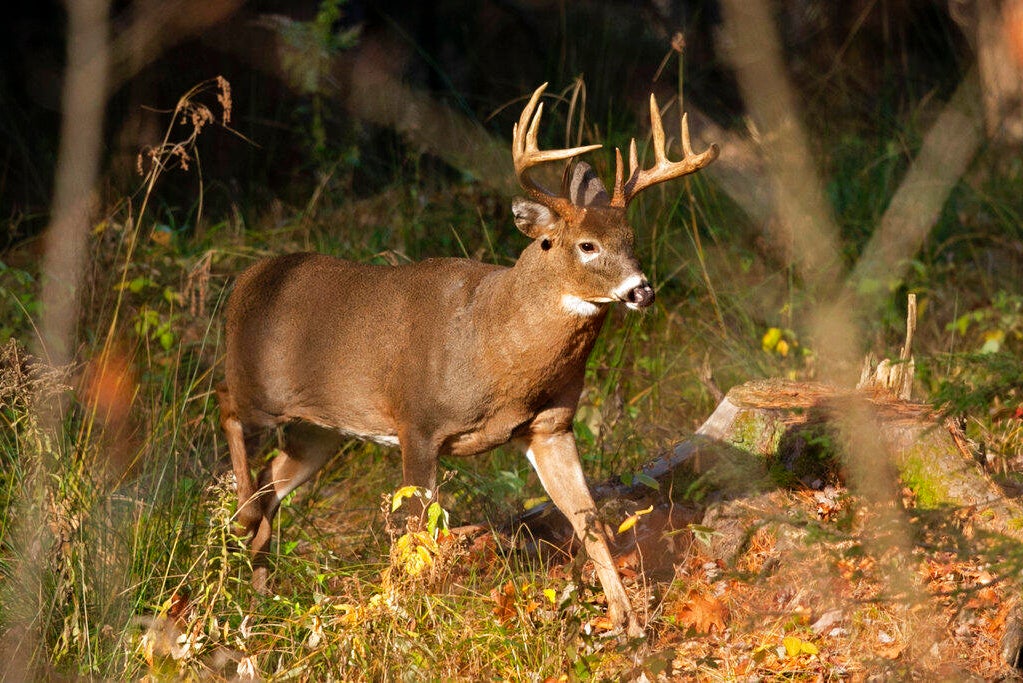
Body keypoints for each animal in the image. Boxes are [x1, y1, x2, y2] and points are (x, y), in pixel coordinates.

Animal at [217, 83, 718, 635]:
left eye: (630, 241)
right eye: (586, 245)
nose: (642, 290)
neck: (495, 351)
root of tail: (244, 282)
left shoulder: (550, 426)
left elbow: (588, 521)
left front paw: (628, 624)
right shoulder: (416, 421)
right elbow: (418, 535)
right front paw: (412, 617)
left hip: (321, 429)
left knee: (271, 482)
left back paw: (258, 592)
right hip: (257, 386)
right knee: (228, 410)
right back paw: (241, 526)